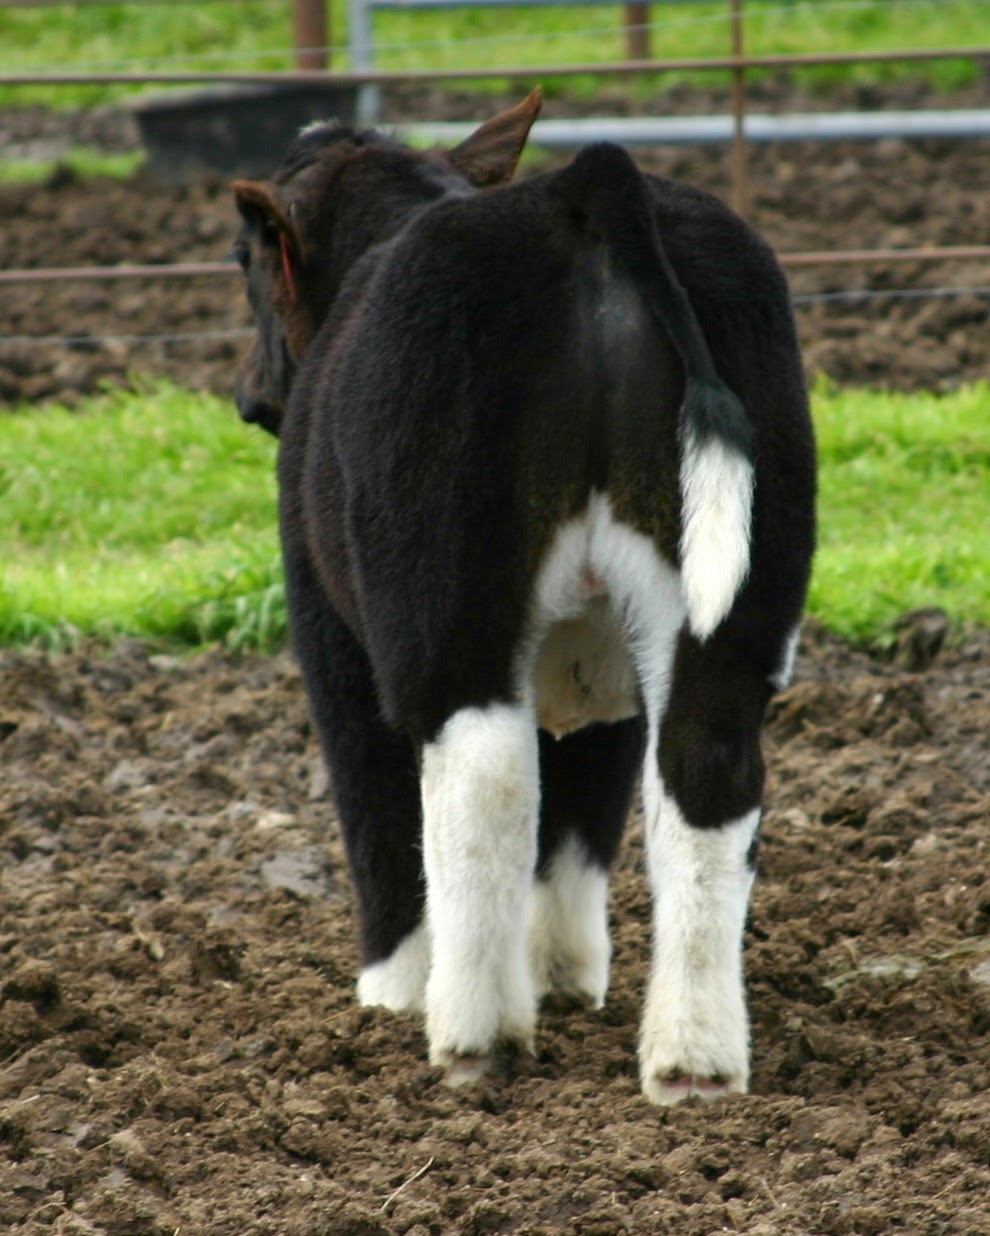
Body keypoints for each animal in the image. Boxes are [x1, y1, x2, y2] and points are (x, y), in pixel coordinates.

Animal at [231, 89, 816, 1104]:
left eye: (246, 262)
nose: (247, 395)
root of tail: (585, 185)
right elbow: (581, 813)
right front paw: (563, 978)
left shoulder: (331, 636)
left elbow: (381, 807)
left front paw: (392, 993)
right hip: (726, 604)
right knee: (704, 771)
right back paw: (692, 1061)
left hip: (442, 602)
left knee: (483, 778)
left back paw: (473, 1039)